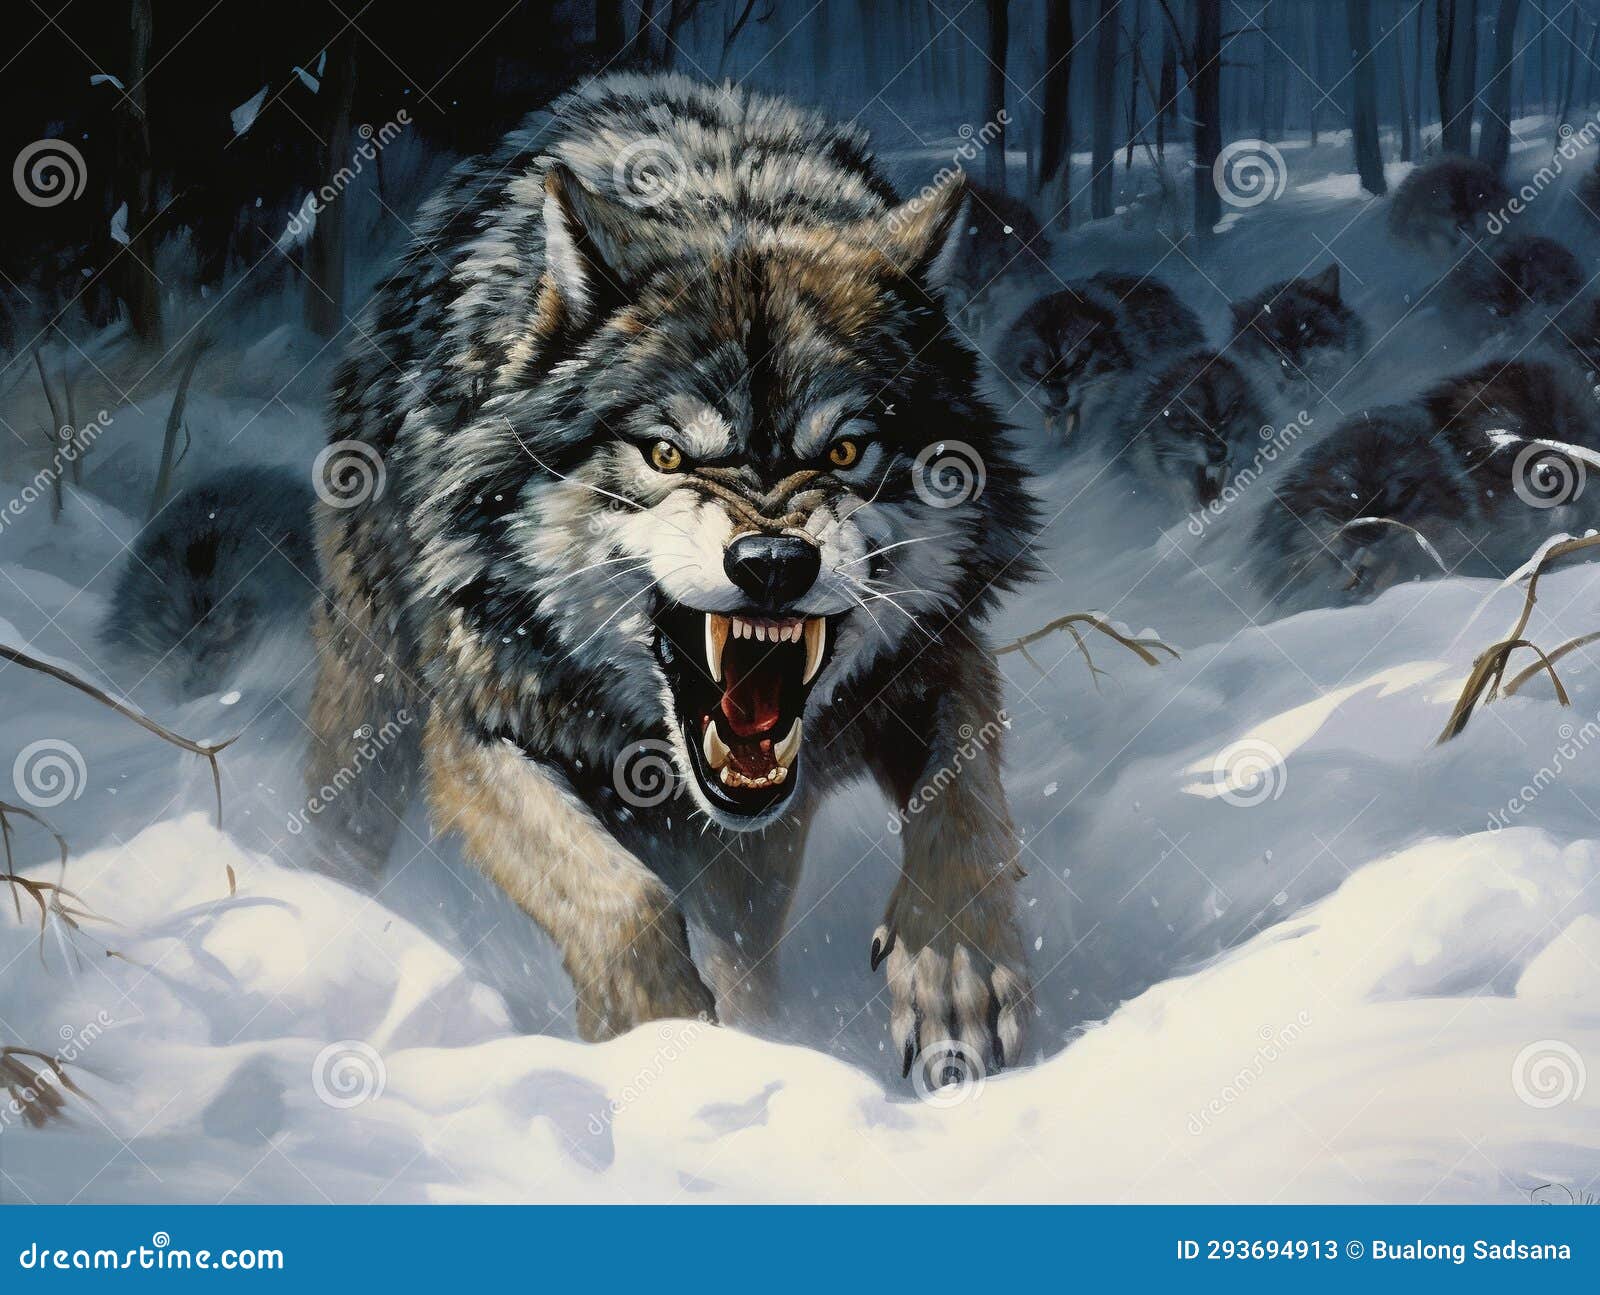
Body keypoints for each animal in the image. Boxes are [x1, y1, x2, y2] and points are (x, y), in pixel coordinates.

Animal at [308, 74, 1040, 1070]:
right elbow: (624, 901)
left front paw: (955, 970)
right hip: (363, 719)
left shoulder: (936, 653)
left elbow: (963, 803)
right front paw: (667, 1050)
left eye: (846, 451)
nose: (772, 563)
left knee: (749, 949)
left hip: (753, 856)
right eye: (665, 455)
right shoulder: (479, 729)